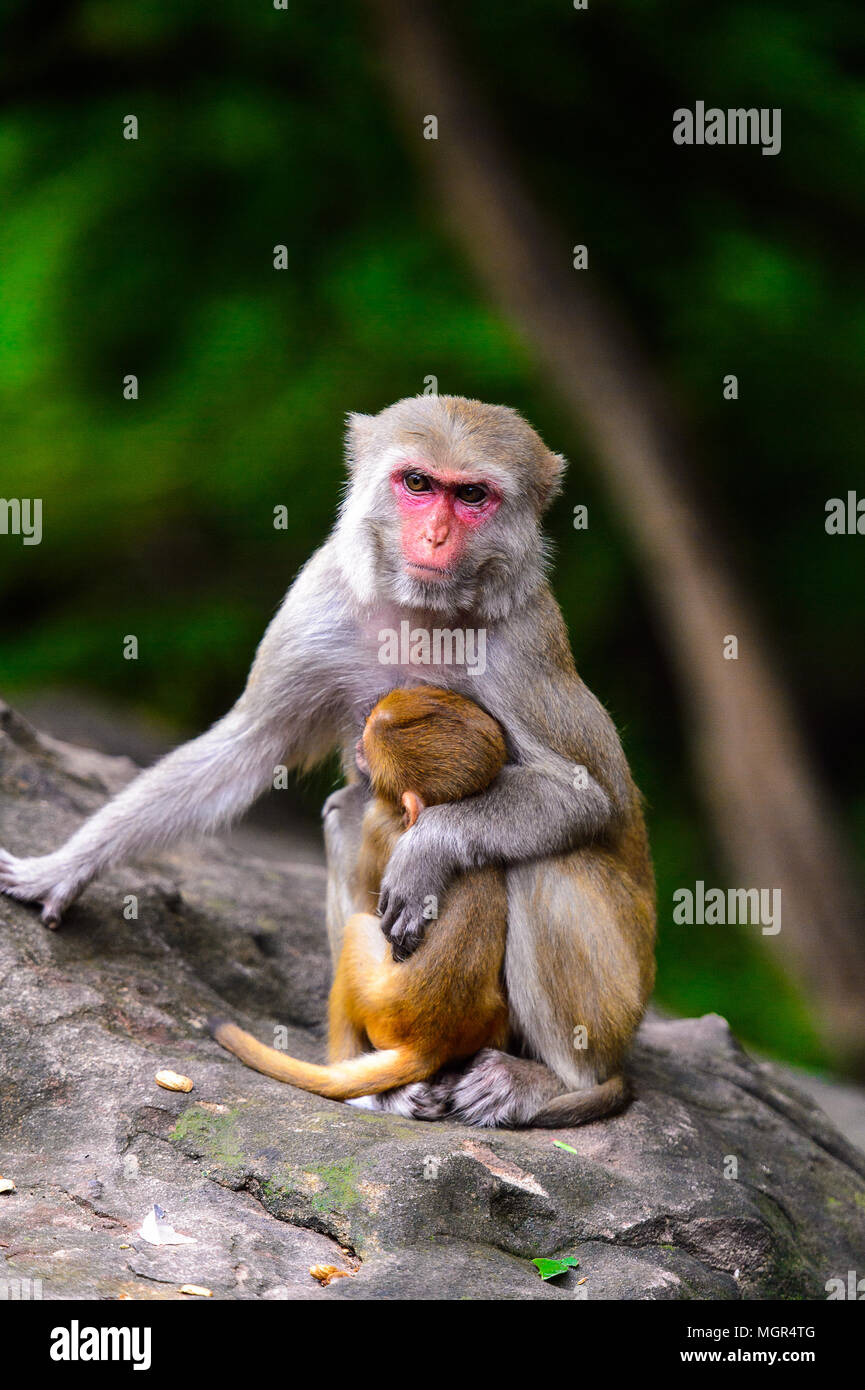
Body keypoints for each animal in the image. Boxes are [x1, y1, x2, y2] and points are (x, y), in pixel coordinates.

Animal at [210, 685, 510, 1100]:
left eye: (368, 753)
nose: (355, 747)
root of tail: (428, 1045)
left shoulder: (378, 823)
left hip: (378, 1006)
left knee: (357, 929)